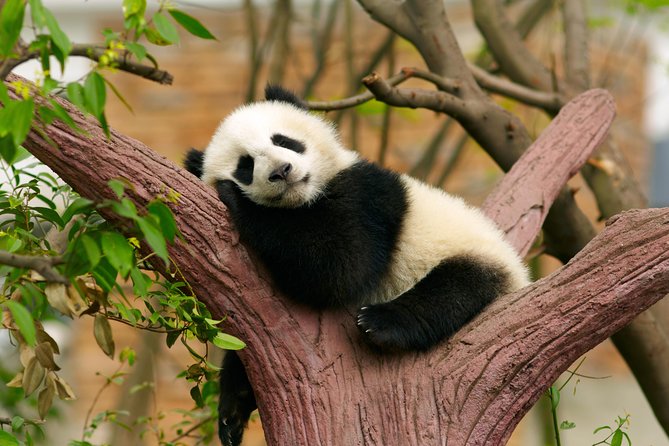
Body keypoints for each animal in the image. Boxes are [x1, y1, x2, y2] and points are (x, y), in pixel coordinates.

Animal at [184, 85, 529, 446]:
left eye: (284, 140)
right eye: (246, 166)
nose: (281, 170)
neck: (304, 199)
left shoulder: (366, 196)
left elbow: (341, 267)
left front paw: (237, 199)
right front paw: (233, 408)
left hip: (472, 254)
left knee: (454, 289)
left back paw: (381, 322)